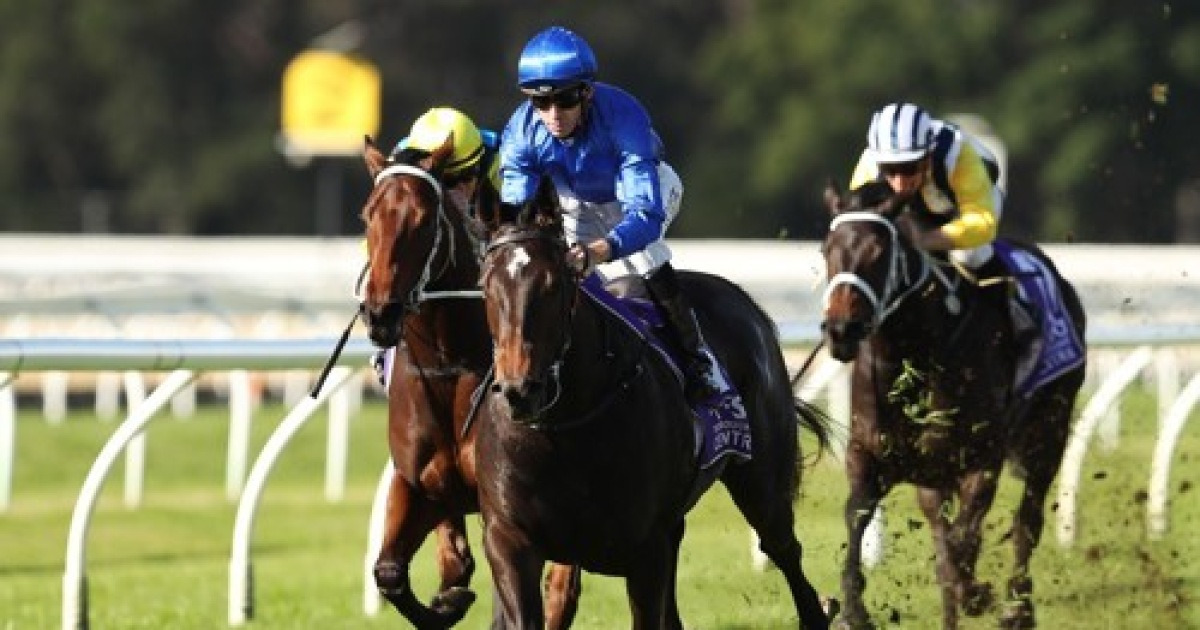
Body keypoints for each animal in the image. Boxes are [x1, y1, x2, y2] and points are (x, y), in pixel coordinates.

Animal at [358, 136, 581, 628]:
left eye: (424, 219)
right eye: (367, 215)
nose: (380, 313)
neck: (449, 366)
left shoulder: (505, 506)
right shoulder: (419, 483)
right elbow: (393, 572)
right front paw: (449, 599)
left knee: (562, 589)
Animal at [475, 175, 834, 629]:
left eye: (553, 285)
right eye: (486, 284)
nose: (521, 390)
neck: (566, 428)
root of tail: (745, 302)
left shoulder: (645, 548)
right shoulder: (509, 540)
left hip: (762, 481)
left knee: (783, 549)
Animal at [819, 180, 1087, 629]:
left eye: (878, 251)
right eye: (826, 249)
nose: (841, 329)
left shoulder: (982, 461)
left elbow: (962, 544)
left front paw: (975, 594)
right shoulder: (868, 453)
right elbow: (858, 517)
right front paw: (852, 610)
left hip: (1048, 431)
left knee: (1026, 521)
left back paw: (1017, 605)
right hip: (935, 473)